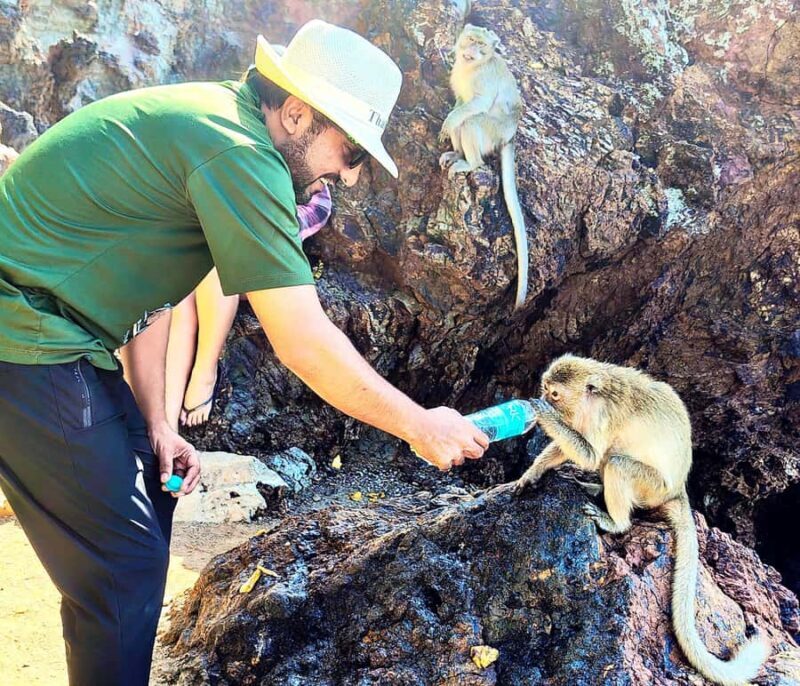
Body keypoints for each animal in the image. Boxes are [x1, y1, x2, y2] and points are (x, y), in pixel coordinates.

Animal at [439, 24, 528, 310]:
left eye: (482, 46)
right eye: (471, 39)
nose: (472, 51)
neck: (472, 67)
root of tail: (510, 136)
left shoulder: (484, 79)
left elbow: (477, 103)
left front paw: (448, 122)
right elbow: (459, 102)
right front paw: (447, 125)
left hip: (492, 132)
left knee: (471, 122)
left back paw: (470, 163)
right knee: (463, 121)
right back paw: (456, 154)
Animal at [514, 354, 770, 686]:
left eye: (553, 394)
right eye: (546, 389)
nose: (544, 399)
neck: (592, 394)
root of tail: (677, 489)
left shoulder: (601, 416)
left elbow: (589, 454)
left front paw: (542, 415)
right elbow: (573, 449)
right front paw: (531, 474)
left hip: (652, 487)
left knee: (616, 463)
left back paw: (615, 522)